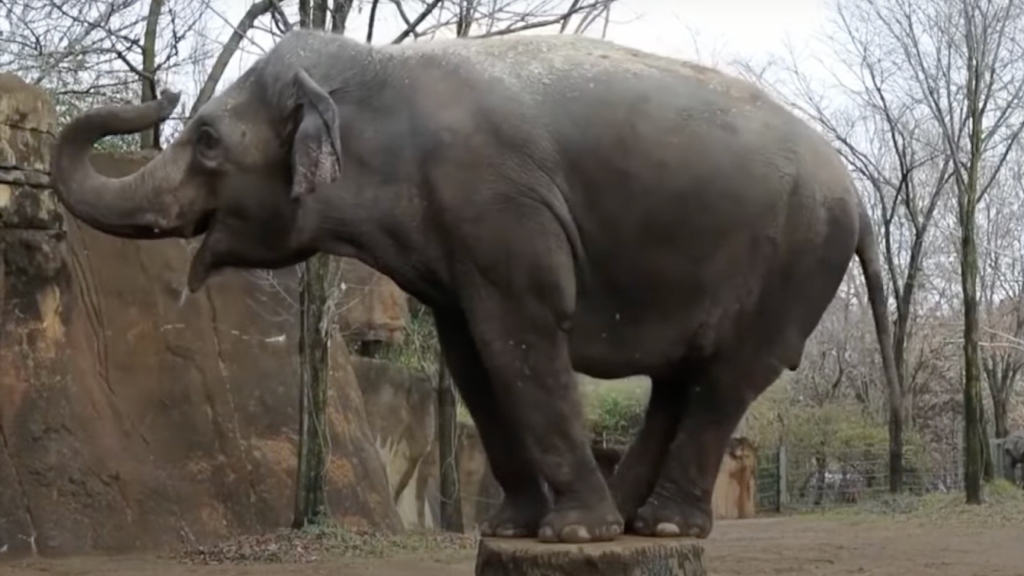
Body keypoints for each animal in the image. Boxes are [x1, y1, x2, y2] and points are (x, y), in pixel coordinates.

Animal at [49, 29, 899, 544]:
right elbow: (469, 357)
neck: (373, 74)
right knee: (680, 380)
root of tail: (859, 202)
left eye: (207, 141)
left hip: (795, 263)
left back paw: (657, 529)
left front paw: (569, 535)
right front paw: (512, 532)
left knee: (726, 378)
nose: (162, 95)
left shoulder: (499, 210)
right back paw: (631, 519)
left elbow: (520, 338)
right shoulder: (452, 249)